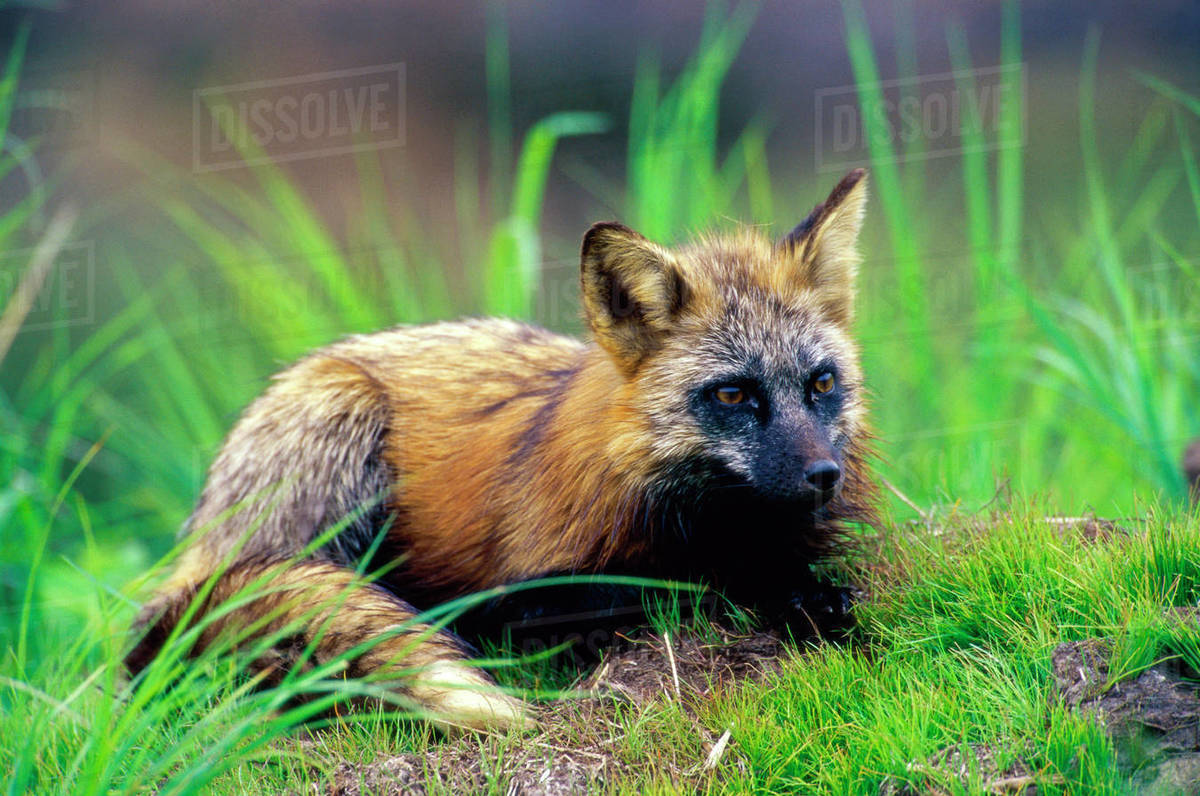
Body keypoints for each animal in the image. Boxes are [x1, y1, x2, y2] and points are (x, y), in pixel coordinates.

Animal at [126, 168, 878, 731]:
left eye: (820, 383)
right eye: (732, 395)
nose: (823, 474)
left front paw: (811, 593)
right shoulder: (525, 593)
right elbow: (696, 582)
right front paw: (789, 593)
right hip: (342, 427)